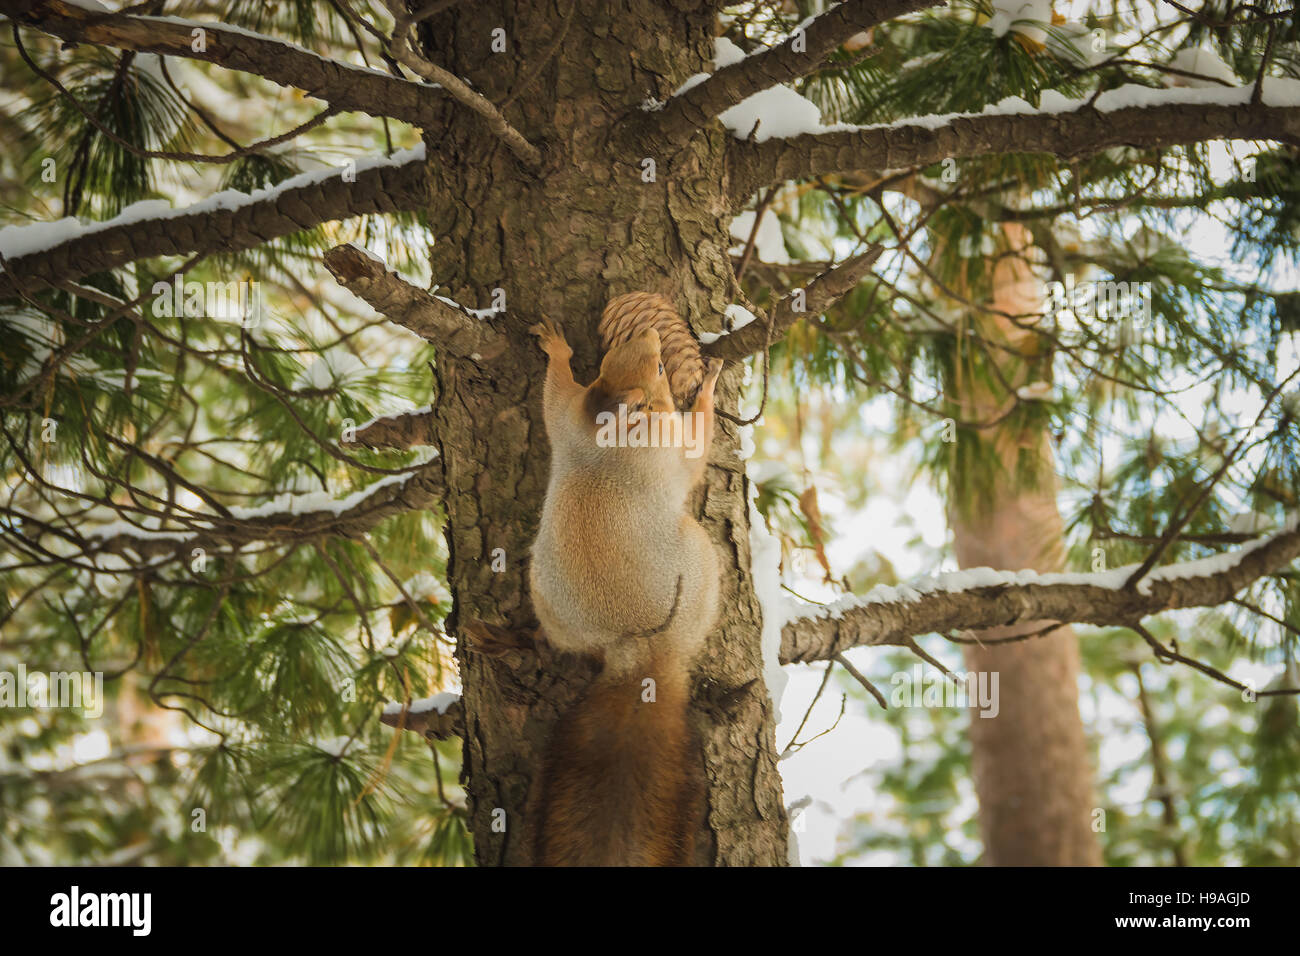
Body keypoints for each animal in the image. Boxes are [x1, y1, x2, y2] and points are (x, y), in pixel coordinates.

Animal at [526, 317, 723, 866]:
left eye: (610, 358)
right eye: (656, 370)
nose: (654, 332)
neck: (606, 421)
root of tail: (640, 650)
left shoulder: (568, 414)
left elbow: (553, 393)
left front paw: (555, 348)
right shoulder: (667, 445)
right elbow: (696, 446)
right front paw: (709, 385)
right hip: (703, 565)